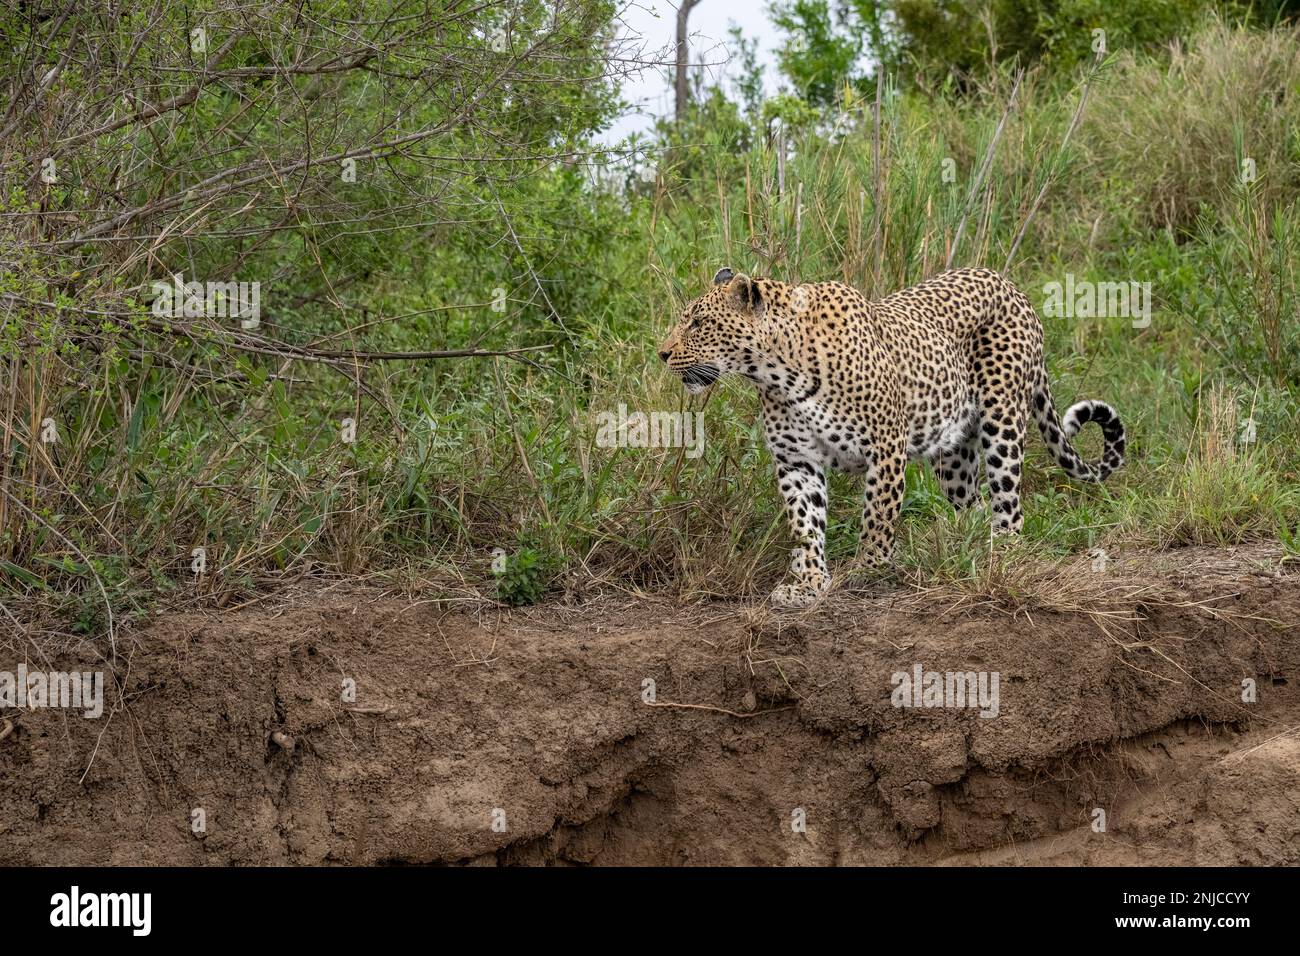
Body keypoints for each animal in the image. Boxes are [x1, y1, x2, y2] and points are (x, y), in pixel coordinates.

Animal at [657, 266, 1126, 608]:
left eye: (698, 323)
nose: (662, 353)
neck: (777, 372)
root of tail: (1010, 285)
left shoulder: (884, 447)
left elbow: (877, 517)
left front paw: (869, 568)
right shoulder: (796, 460)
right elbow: (805, 524)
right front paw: (807, 583)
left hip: (1003, 421)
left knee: (1009, 504)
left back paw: (1003, 551)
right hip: (952, 452)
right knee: (972, 505)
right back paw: (966, 549)